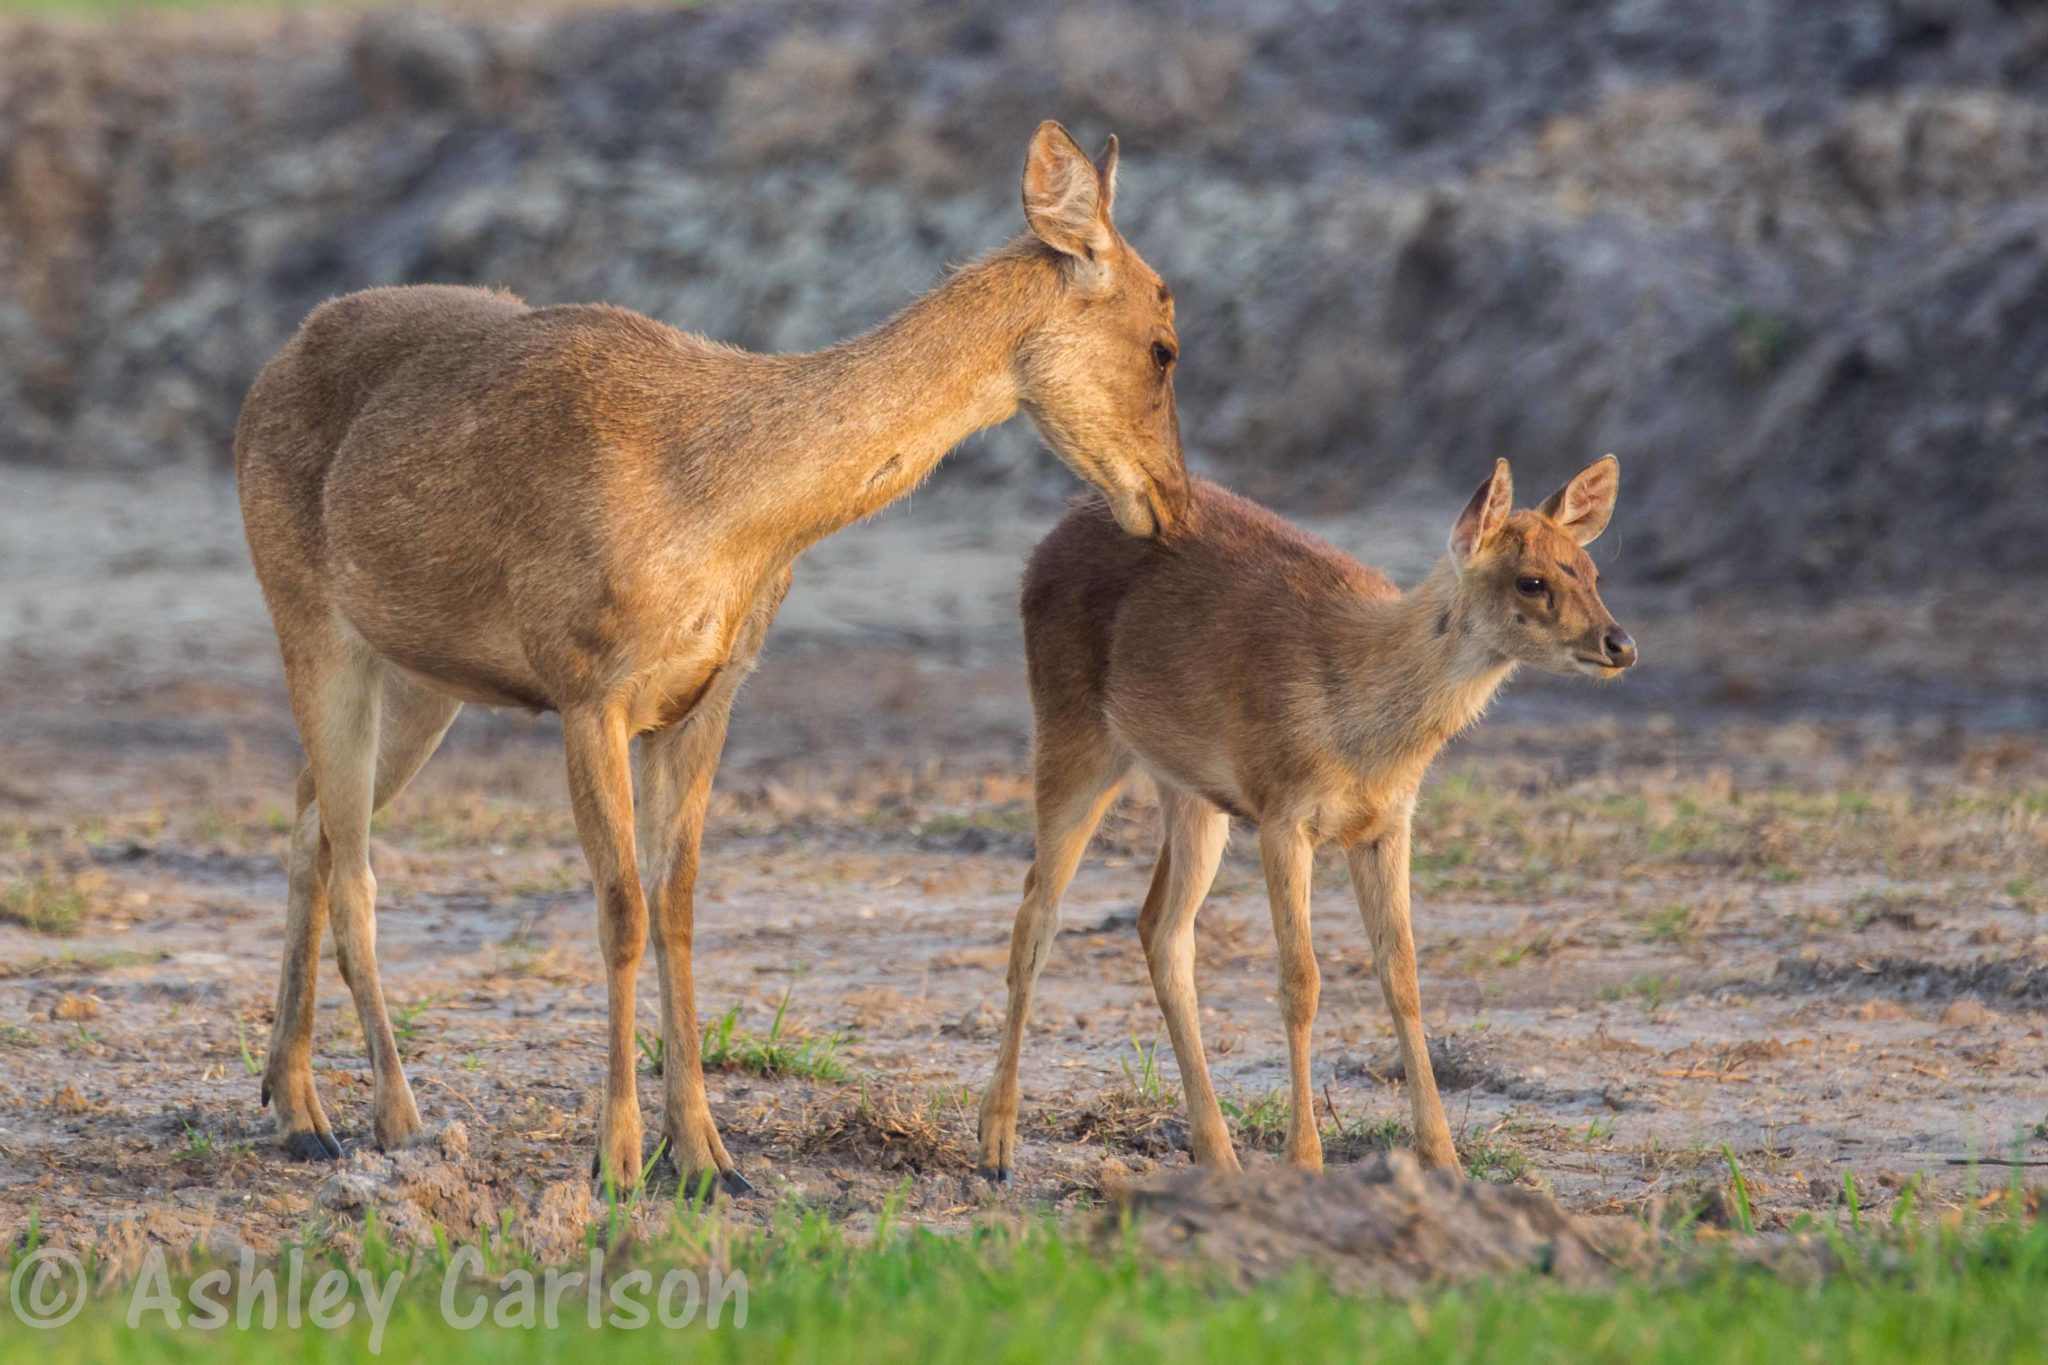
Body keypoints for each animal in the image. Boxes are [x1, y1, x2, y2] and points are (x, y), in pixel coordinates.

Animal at [235, 120, 1189, 1193]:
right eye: (1164, 344)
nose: (1178, 506)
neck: (722, 500)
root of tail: (266, 375)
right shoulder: (587, 687)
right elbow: (619, 909)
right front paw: (614, 1159)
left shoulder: (707, 698)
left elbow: (678, 905)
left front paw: (705, 1155)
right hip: (309, 620)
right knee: (352, 860)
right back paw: (386, 1118)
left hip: (424, 688)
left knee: (309, 823)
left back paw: (292, 1101)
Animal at [976, 457, 1634, 1181]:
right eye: (1531, 580)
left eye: (1592, 572)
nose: (1620, 644)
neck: (1362, 721)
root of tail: (1059, 528)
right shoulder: (1283, 814)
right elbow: (1301, 981)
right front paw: (1306, 1159)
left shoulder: (1387, 825)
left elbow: (1402, 975)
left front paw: (1443, 1160)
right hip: (1073, 726)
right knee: (1037, 912)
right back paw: (997, 1144)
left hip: (1191, 789)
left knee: (1161, 928)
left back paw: (1218, 1154)